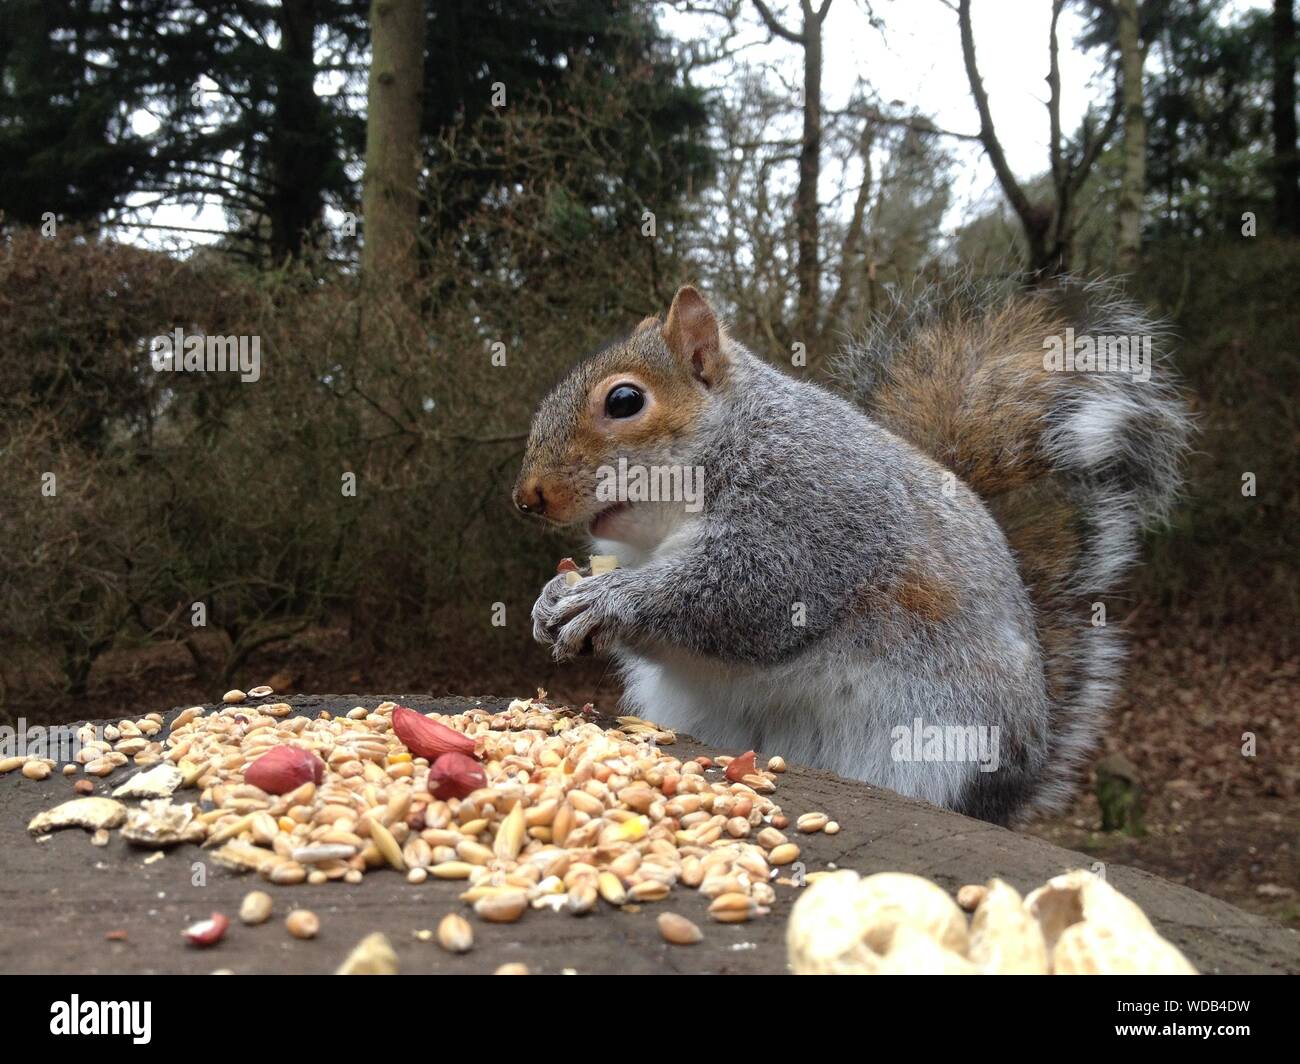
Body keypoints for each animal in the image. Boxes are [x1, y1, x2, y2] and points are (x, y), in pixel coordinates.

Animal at [513, 279, 1191, 825]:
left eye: (624, 401)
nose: (527, 498)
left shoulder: (812, 516)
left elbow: (742, 599)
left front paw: (605, 601)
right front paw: (551, 598)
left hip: (932, 743)